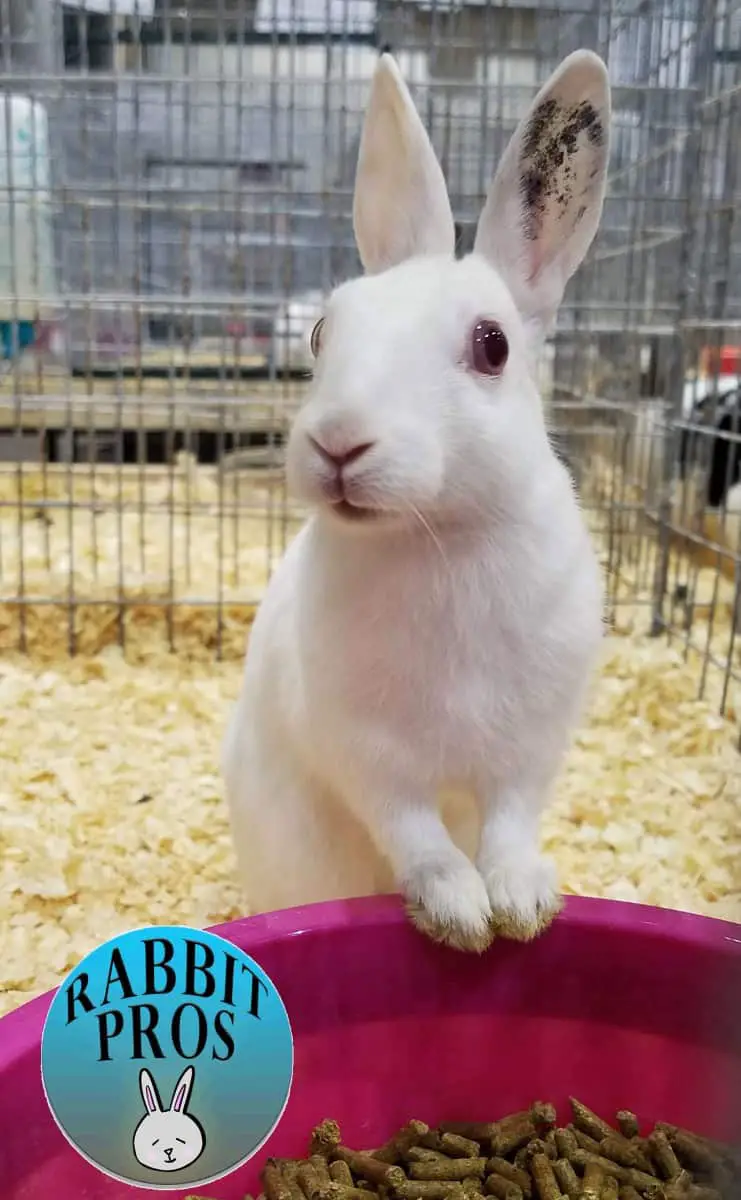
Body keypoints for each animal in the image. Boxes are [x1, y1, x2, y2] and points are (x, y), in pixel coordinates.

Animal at [222, 49, 610, 953]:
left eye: (492, 345)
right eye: (323, 332)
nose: (339, 442)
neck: (441, 534)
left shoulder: (526, 748)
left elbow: (509, 825)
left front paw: (522, 903)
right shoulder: (366, 754)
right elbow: (414, 833)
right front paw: (458, 913)